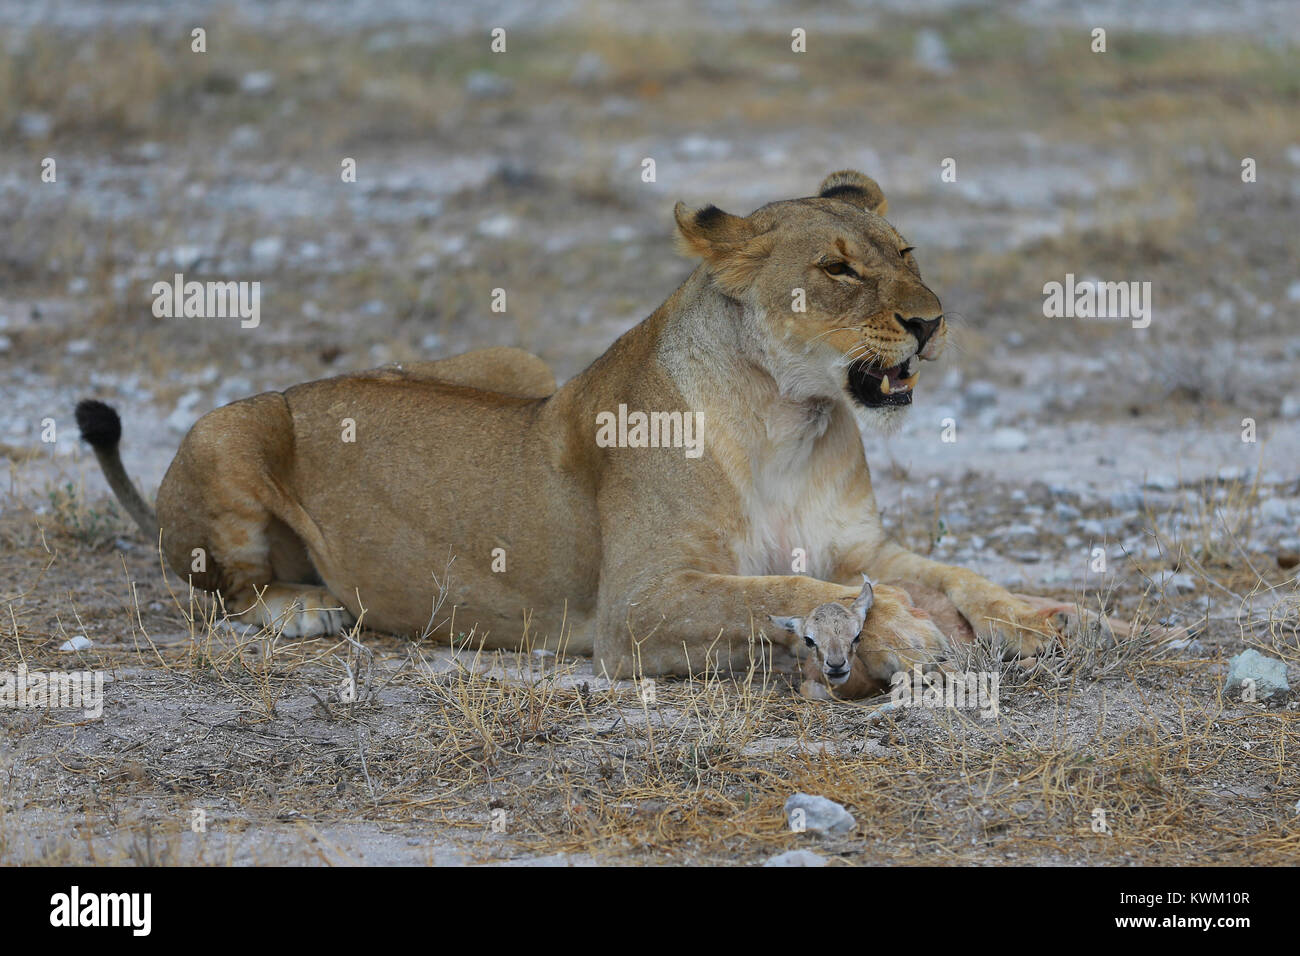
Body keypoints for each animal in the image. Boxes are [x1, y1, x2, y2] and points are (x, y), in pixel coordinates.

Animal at [78, 169, 1094, 682]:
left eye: (906, 252)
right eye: (838, 269)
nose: (930, 321)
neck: (790, 418)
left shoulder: (858, 545)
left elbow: (950, 574)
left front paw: (1049, 615)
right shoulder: (634, 613)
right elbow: (781, 593)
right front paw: (897, 637)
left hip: (519, 363)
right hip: (228, 433)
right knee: (222, 593)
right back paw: (304, 608)